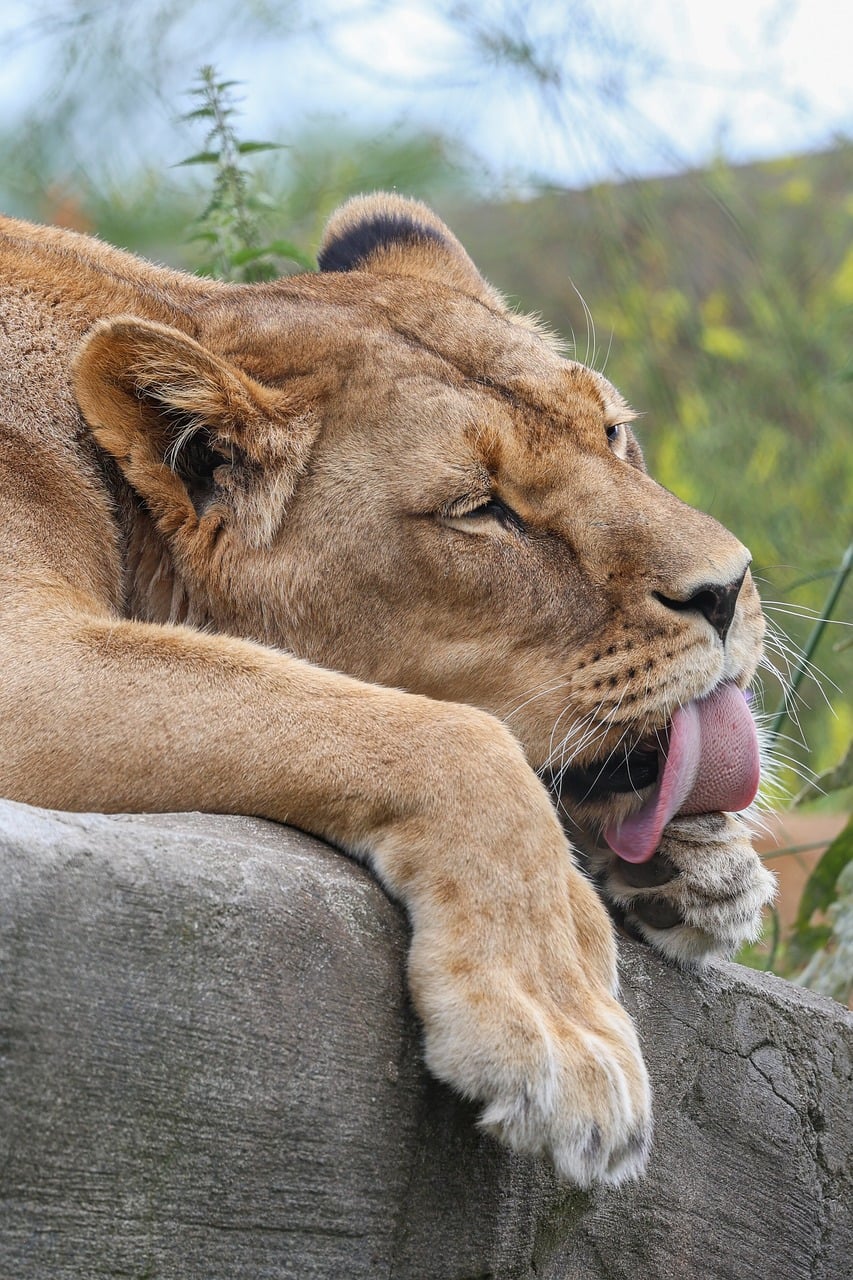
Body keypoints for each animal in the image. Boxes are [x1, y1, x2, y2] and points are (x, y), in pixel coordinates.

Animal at [0, 193, 774, 1187]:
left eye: (609, 431)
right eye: (480, 510)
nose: (728, 587)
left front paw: (705, 859)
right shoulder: (26, 653)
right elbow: (455, 739)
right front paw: (558, 1031)